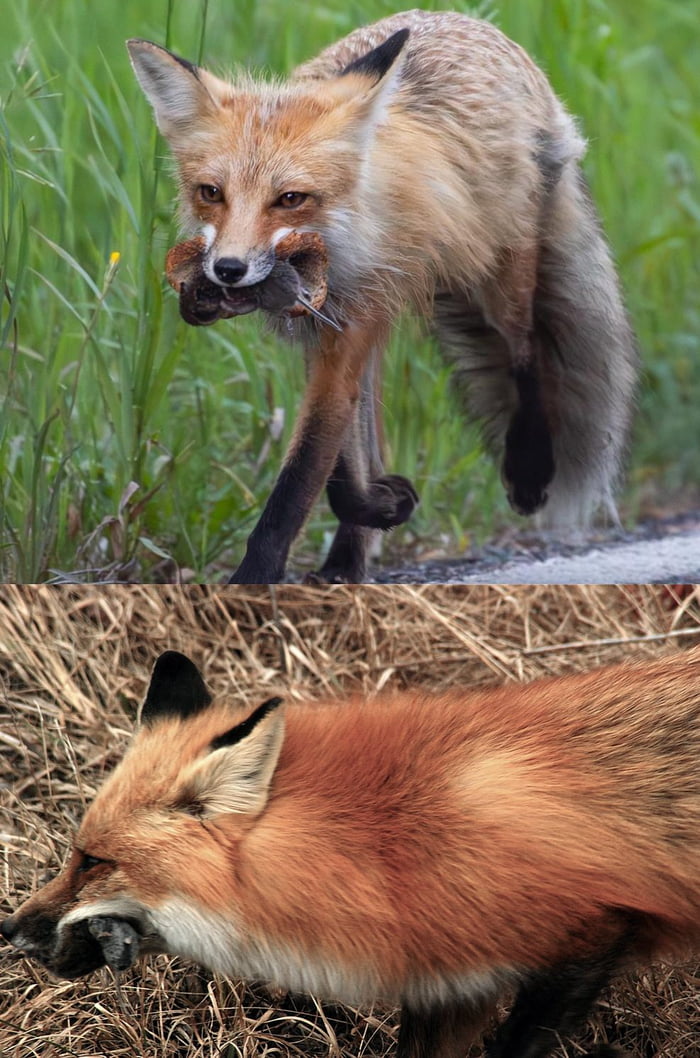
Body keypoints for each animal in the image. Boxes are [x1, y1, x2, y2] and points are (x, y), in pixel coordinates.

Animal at [125, 10, 638, 584]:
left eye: (290, 199)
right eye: (211, 193)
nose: (227, 271)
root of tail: (468, 21)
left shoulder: (349, 327)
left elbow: (299, 481)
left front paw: (253, 580)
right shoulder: (325, 332)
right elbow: (340, 469)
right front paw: (382, 505)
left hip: (502, 276)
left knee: (525, 352)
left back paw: (528, 468)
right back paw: (347, 557)